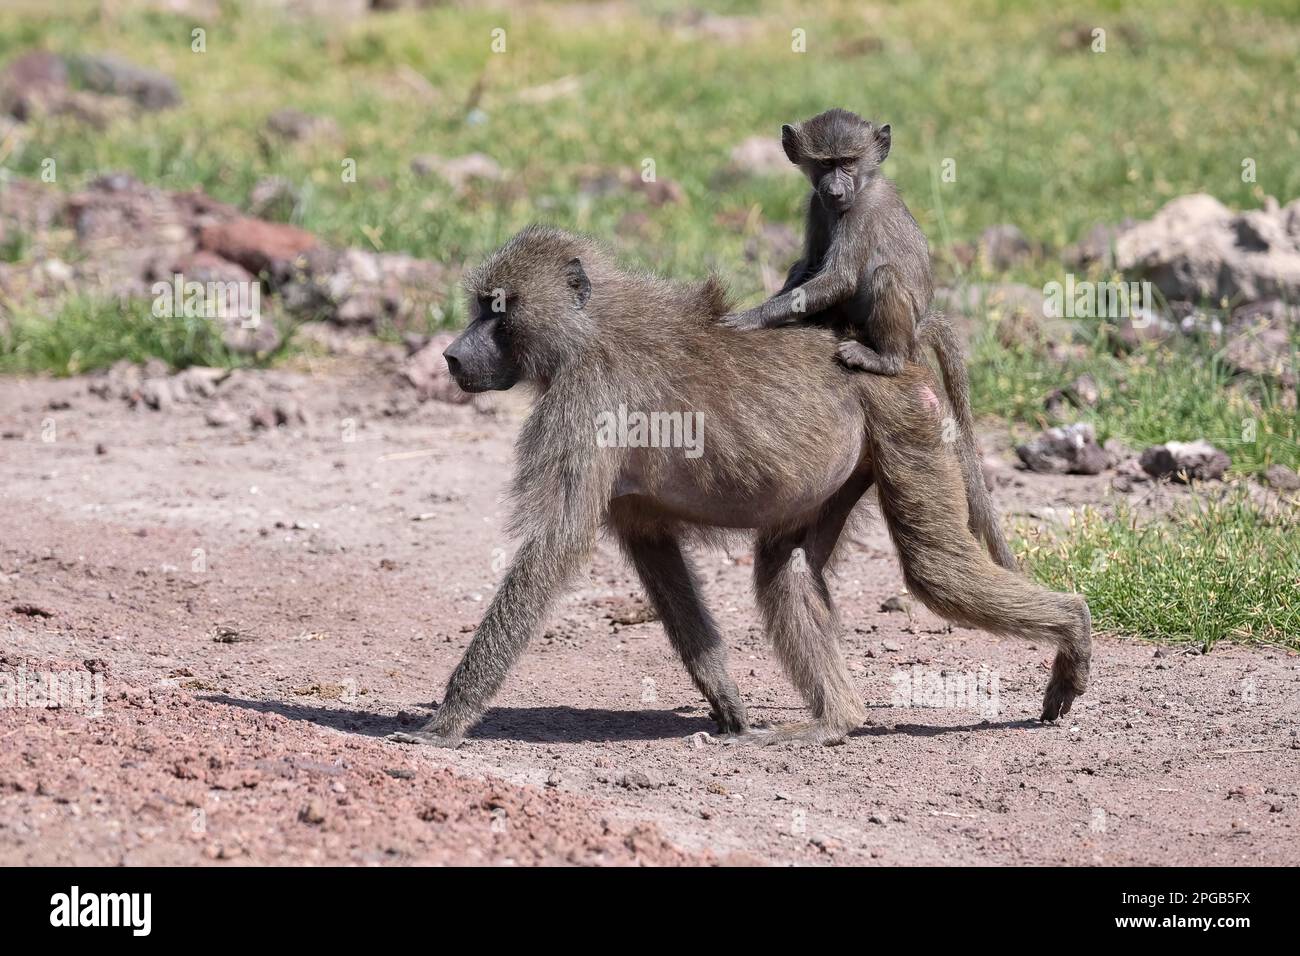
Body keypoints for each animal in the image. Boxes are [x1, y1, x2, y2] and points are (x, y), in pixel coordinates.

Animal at [388, 225, 1090, 750]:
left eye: (497, 310)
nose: (452, 356)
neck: (587, 330)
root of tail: (896, 348)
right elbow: (655, 552)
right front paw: (726, 702)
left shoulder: (586, 398)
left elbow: (555, 546)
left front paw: (444, 725)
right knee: (786, 569)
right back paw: (834, 723)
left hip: (902, 421)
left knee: (934, 571)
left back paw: (1075, 632)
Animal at [725, 109, 1018, 571]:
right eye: (825, 164)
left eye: (848, 161)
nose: (835, 189)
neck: (859, 189)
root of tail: (918, 328)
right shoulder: (816, 206)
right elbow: (807, 267)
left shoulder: (860, 213)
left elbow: (838, 278)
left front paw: (748, 319)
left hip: (900, 327)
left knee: (883, 276)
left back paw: (883, 359)